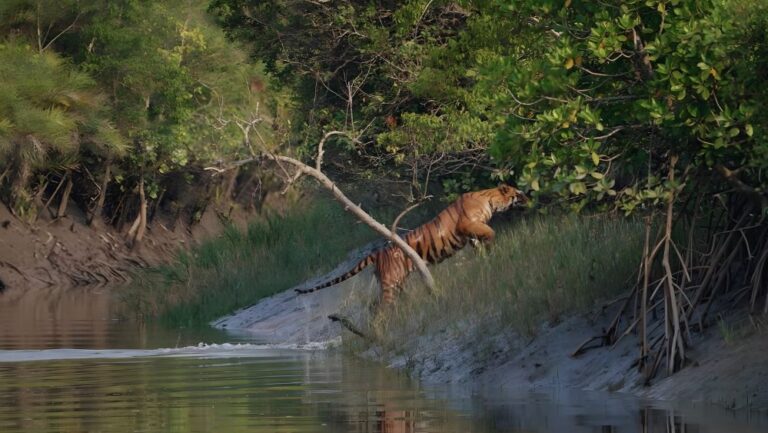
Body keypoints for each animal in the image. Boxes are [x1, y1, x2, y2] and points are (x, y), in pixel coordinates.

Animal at [296, 184, 528, 308]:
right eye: (518, 193)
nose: (529, 196)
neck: (489, 199)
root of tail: (378, 252)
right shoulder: (468, 224)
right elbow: (490, 232)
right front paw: (491, 245)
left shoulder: (470, 234)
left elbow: (480, 244)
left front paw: (485, 257)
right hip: (391, 284)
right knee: (380, 310)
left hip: (393, 282)